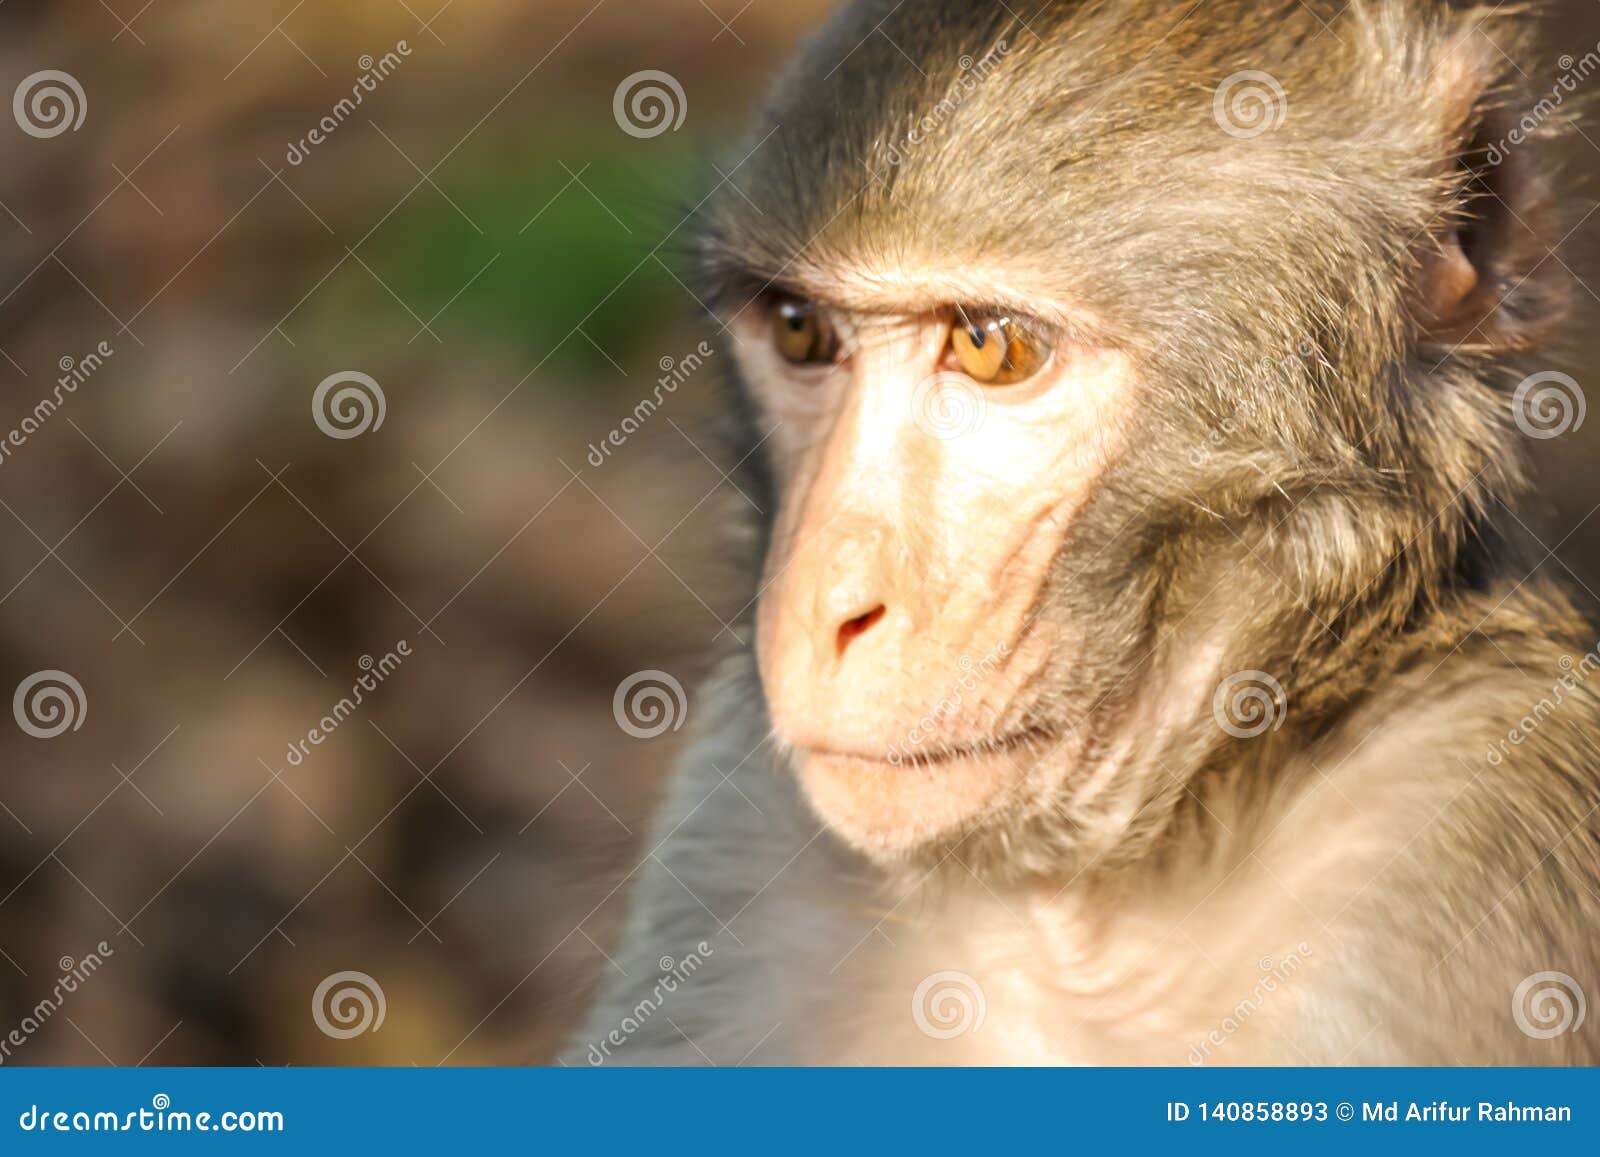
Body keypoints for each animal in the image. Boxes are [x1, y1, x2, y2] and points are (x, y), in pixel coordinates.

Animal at [567, 0, 1600, 1066]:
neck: (1090, 921)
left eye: (991, 347)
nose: (819, 606)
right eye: (799, 328)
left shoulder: (1465, 815)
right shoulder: (741, 825)